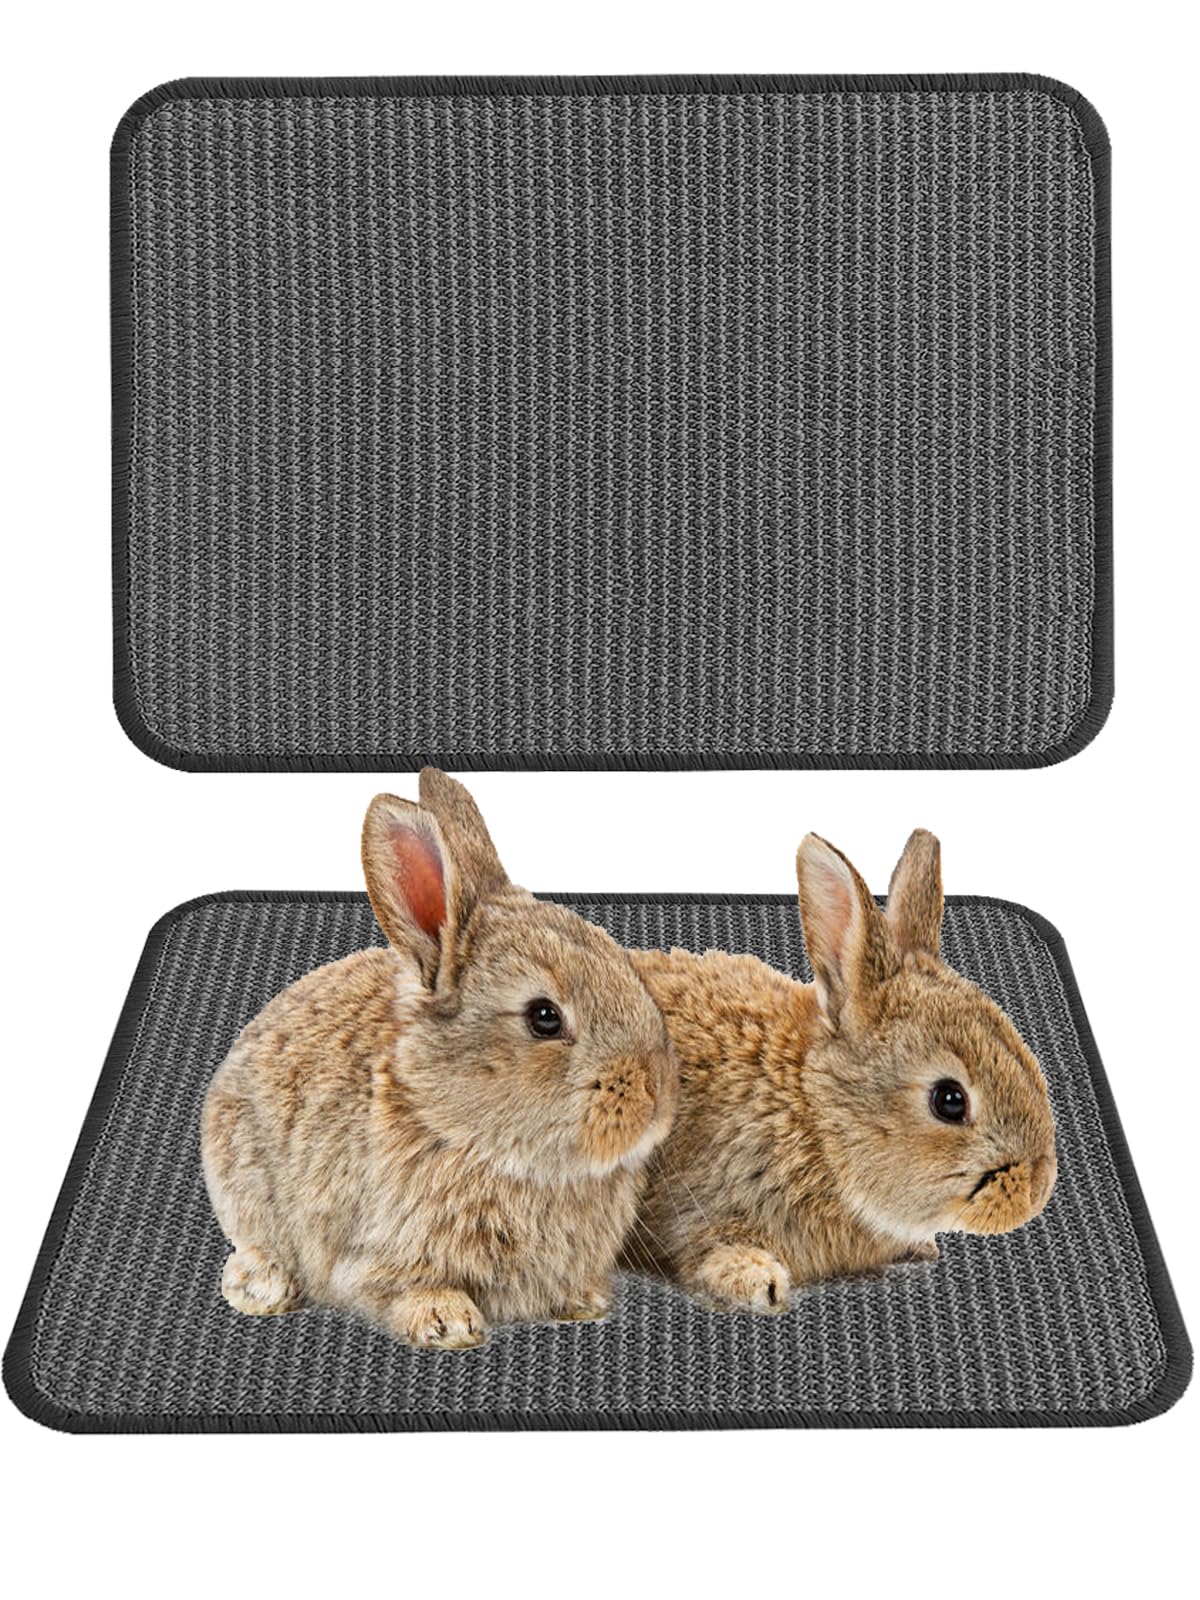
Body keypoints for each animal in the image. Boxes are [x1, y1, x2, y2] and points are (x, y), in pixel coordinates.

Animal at [624, 829, 1056, 1313]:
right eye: (949, 1100)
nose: (1039, 1189)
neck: (814, 1116)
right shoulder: (702, 1198)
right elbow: (706, 1245)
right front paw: (757, 1280)